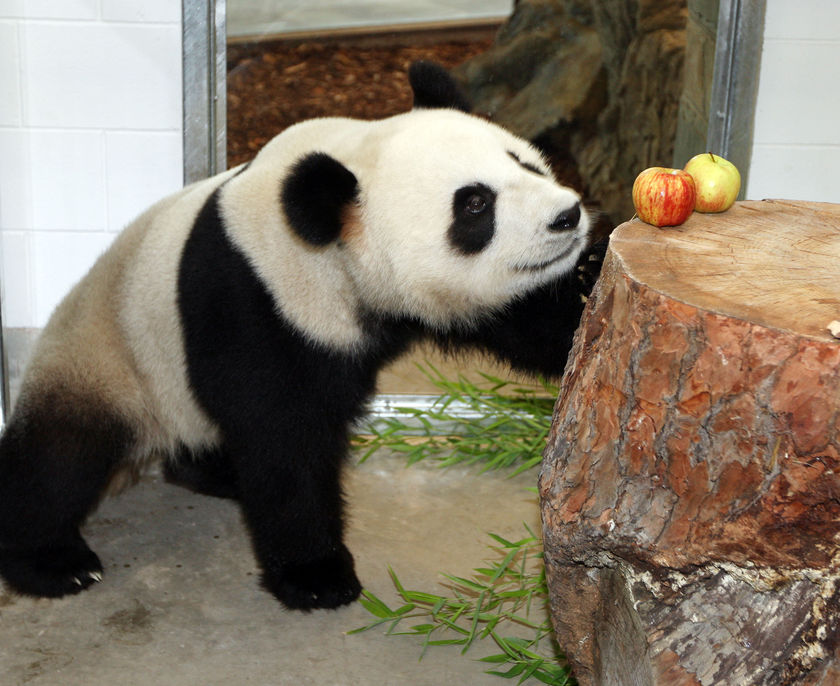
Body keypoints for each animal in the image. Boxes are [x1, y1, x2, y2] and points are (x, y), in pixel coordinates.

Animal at [0, 62, 590, 610]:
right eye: (474, 204)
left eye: (523, 161)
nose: (567, 216)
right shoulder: (255, 297)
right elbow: (282, 435)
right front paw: (316, 576)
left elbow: (546, 324)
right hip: (108, 355)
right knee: (60, 457)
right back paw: (54, 563)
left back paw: (216, 471)